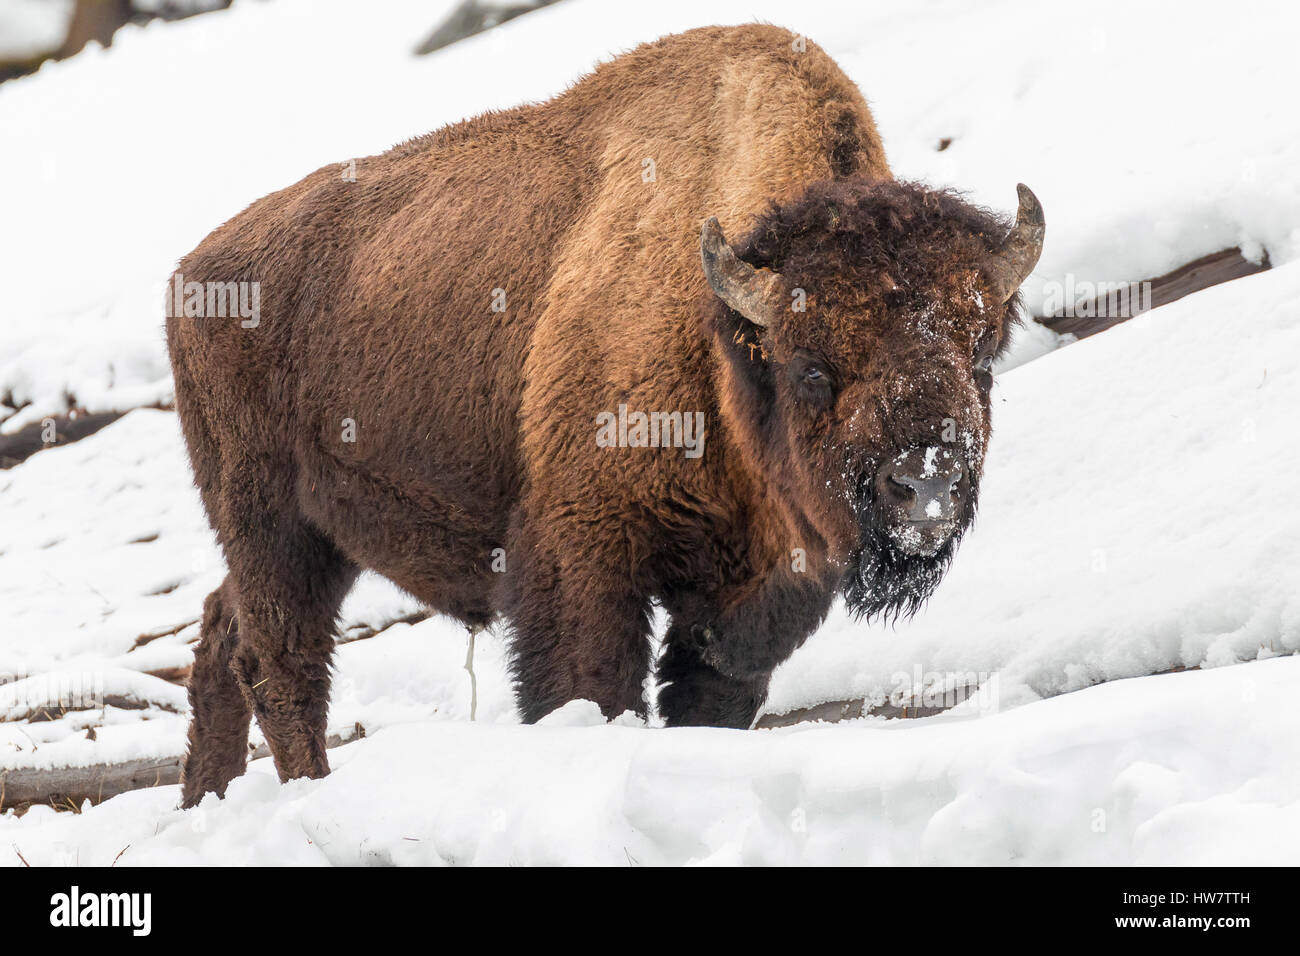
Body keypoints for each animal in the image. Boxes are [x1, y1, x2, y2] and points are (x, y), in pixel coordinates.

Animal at [167, 24, 1044, 807]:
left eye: (982, 352)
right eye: (812, 368)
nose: (926, 484)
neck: (719, 334)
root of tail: (193, 272)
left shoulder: (758, 591)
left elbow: (709, 693)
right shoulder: (582, 548)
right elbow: (586, 684)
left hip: (311, 539)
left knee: (222, 630)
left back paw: (206, 799)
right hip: (274, 527)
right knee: (282, 664)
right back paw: (302, 792)